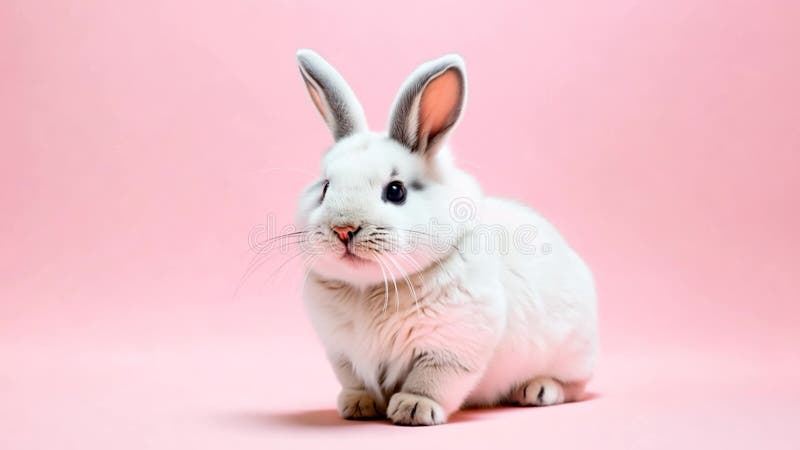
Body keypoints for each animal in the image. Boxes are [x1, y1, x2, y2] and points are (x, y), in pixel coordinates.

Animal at [292, 49, 598, 426]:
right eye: (324, 187)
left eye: (396, 191)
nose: (343, 229)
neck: (370, 289)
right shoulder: (342, 353)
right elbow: (355, 381)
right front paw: (357, 406)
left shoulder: (452, 346)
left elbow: (432, 379)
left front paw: (414, 409)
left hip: (572, 353)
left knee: (575, 386)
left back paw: (538, 390)